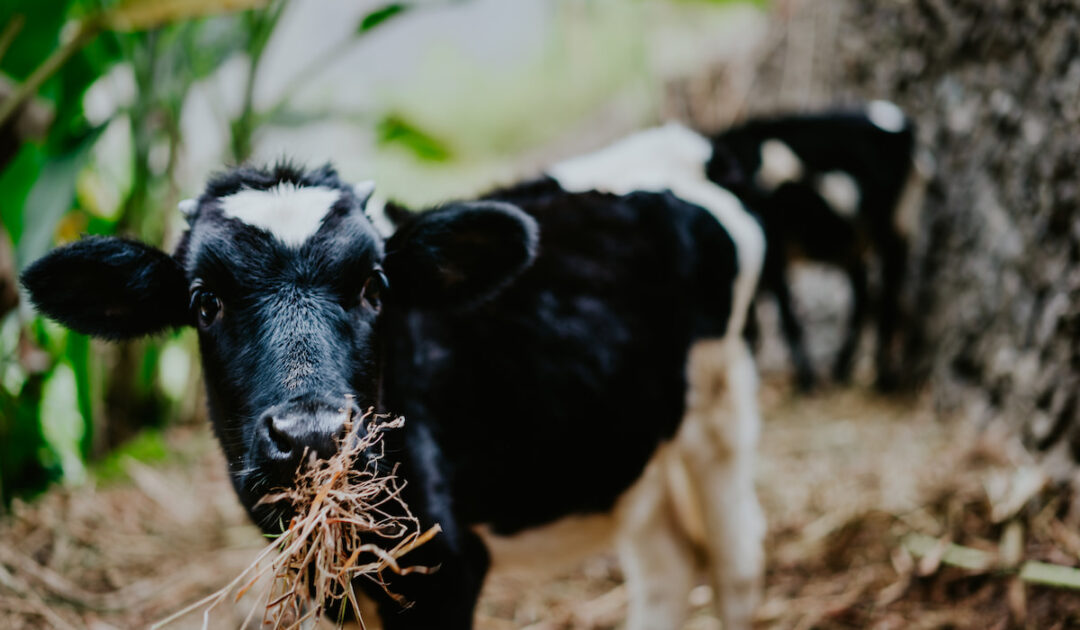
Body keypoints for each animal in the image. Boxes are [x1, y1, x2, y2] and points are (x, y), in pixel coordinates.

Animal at [22, 123, 765, 629]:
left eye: (375, 287)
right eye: (205, 303)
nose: (312, 434)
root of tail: (686, 146)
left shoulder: (446, 567)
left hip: (721, 407)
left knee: (734, 567)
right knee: (668, 566)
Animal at [706, 101, 926, 391]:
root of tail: (901, 124)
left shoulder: (773, 248)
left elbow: (786, 315)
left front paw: (806, 380)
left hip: (892, 228)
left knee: (887, 294)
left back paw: (883, 378)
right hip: (856, 242)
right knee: (863, 296)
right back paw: (842, 370)